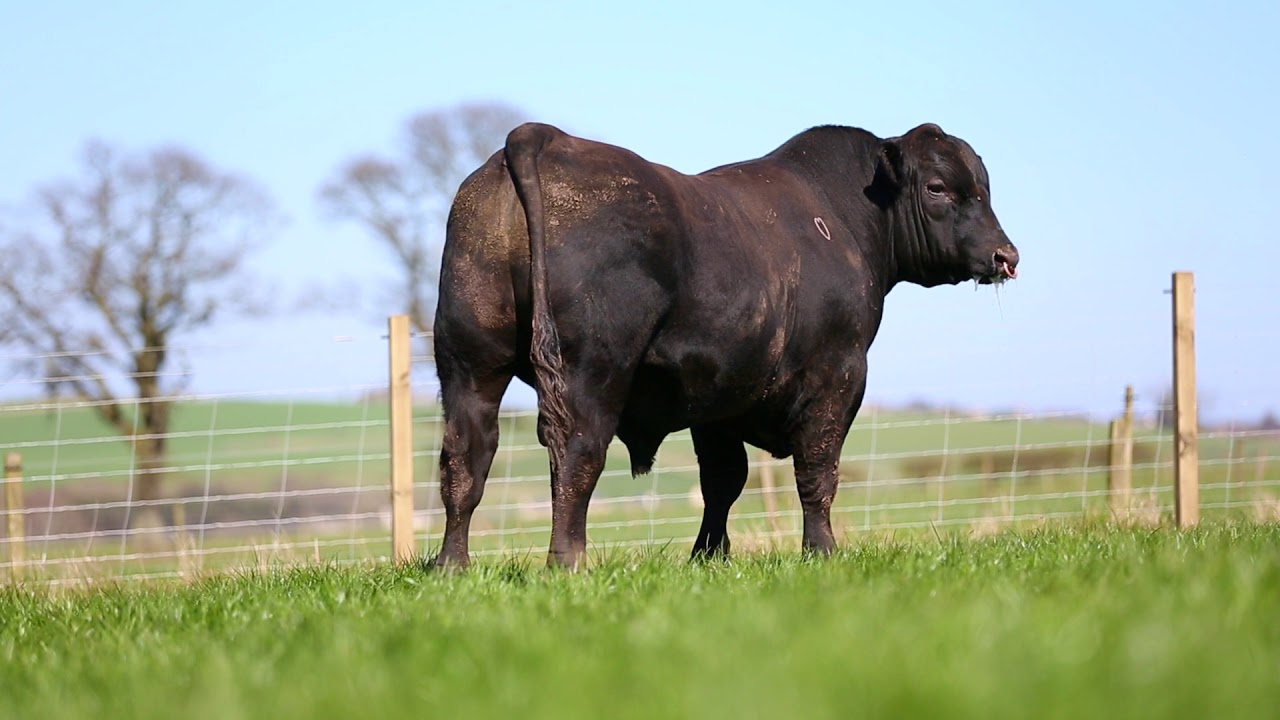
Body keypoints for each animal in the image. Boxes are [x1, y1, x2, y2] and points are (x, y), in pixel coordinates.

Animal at [431, 121, 1019, 569]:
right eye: (938, 187)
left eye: (985, 188)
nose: (1005, 255)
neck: (842, 220)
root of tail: (544, 135)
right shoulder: (840, 373)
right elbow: (818, 470)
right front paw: (822, 553)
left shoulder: (718, 395)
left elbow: (723, 480)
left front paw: (709, 557)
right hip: (591, 369)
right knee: (576, 452)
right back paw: (568, 561)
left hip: (469, 363)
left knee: (466, 458)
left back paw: (452, 566)